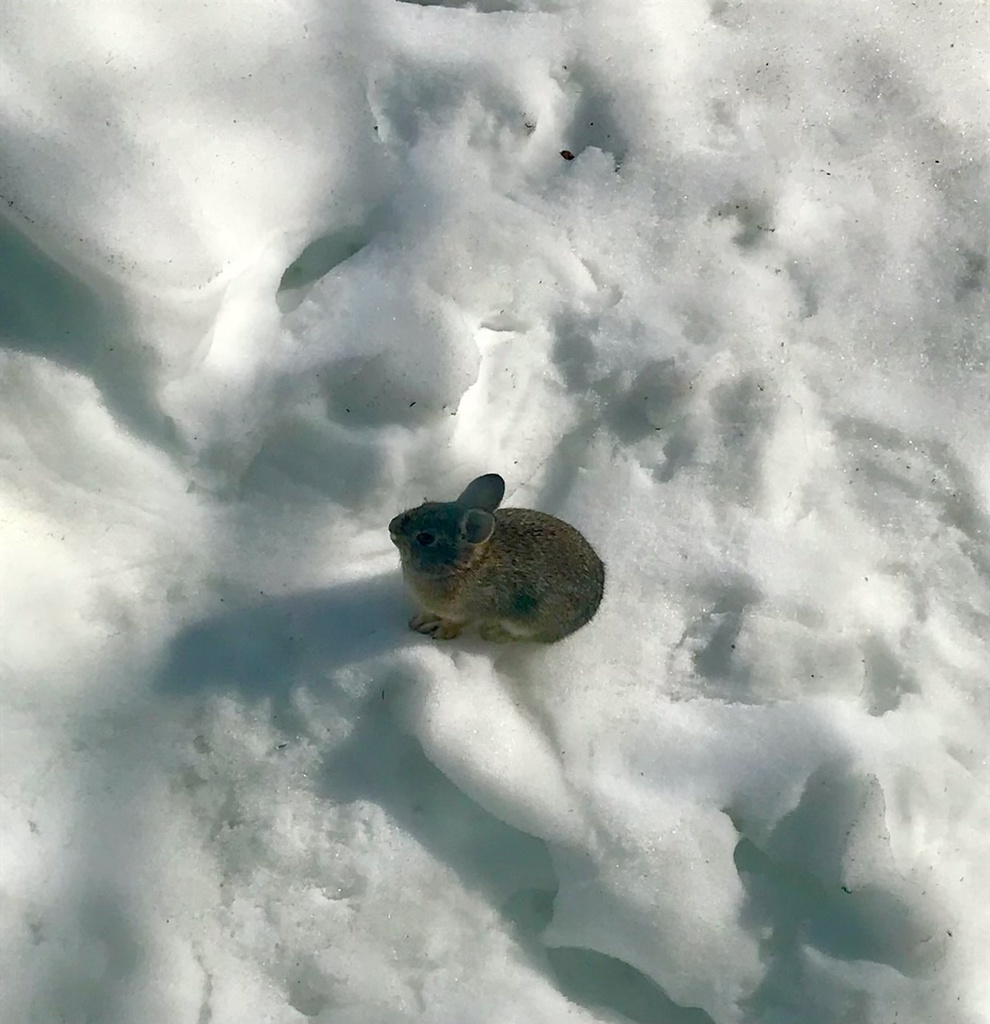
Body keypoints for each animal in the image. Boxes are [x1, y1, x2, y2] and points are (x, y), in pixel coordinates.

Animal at [389, 473, 604, 642]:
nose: (392, 527)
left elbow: (456, 623)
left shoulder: (469, 610)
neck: (463, 566)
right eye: (426, 504)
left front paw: (441, 632)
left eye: (425, 538)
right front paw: (418, 621)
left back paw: (493, 634)